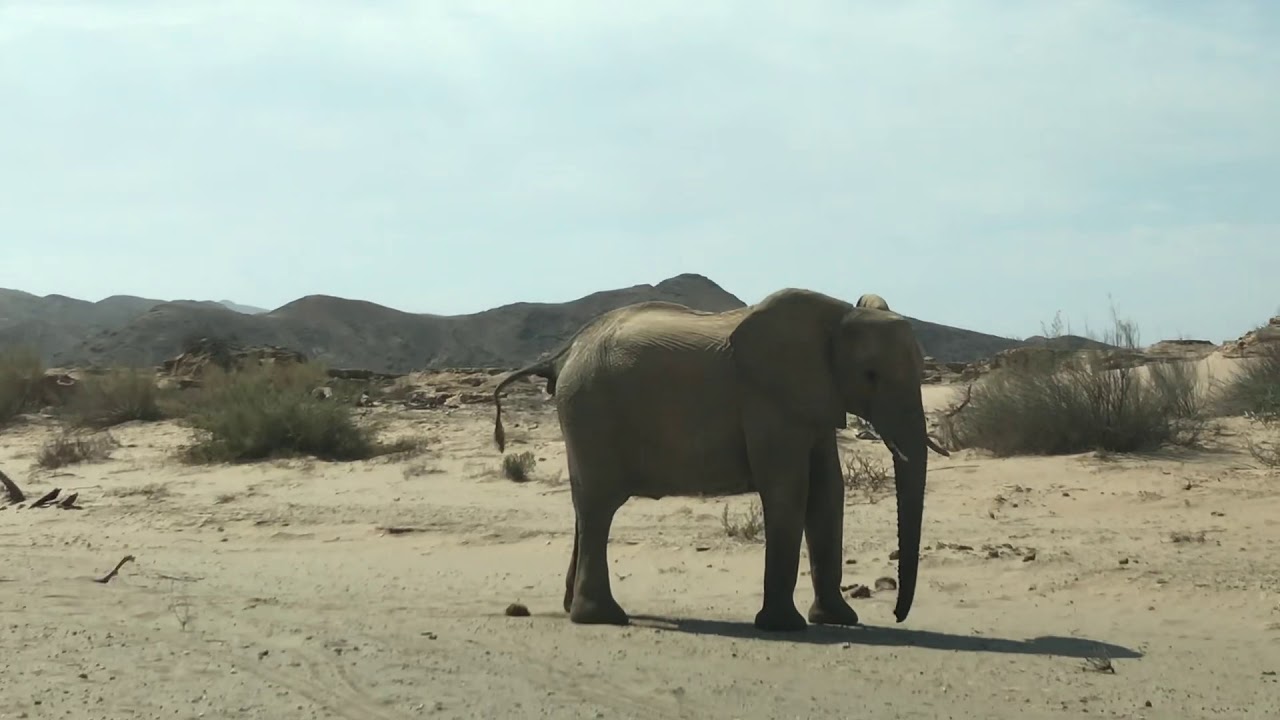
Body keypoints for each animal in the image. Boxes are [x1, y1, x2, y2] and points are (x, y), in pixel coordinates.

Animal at [490, 288, 948, 632]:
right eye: (871, 375)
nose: (897, 615)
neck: (838, 315)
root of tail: (563, 354)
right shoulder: (769, 399)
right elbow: (788, 491)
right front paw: (784, 626)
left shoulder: (814, 403)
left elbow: (826, 492)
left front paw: (838, 620)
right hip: (590, 410)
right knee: (600, 506)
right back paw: (602, 617)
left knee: (585, 509)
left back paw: (576, 610)